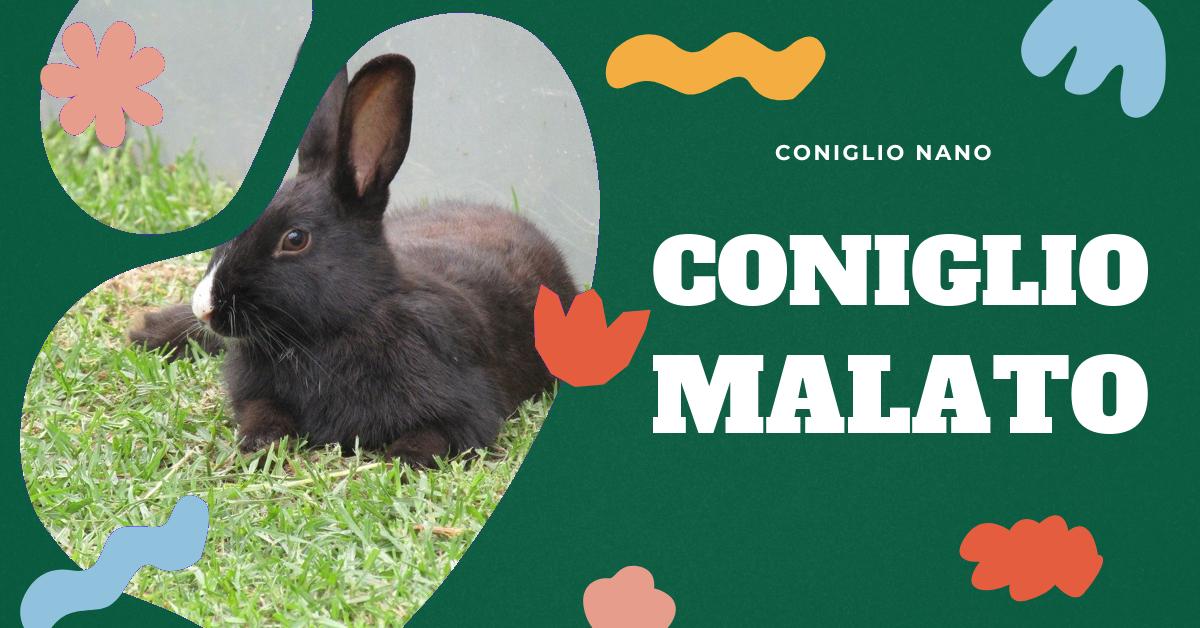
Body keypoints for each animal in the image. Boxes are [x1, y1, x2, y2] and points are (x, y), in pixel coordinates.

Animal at [129, 54, 576, 467]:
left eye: (295, 239)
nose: (204, 308)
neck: (333, 329)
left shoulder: (466, 408)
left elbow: (433, 437)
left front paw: (403, 462)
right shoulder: (256, 393)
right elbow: (261, 414)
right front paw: (258, 444)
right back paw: (149, 331)